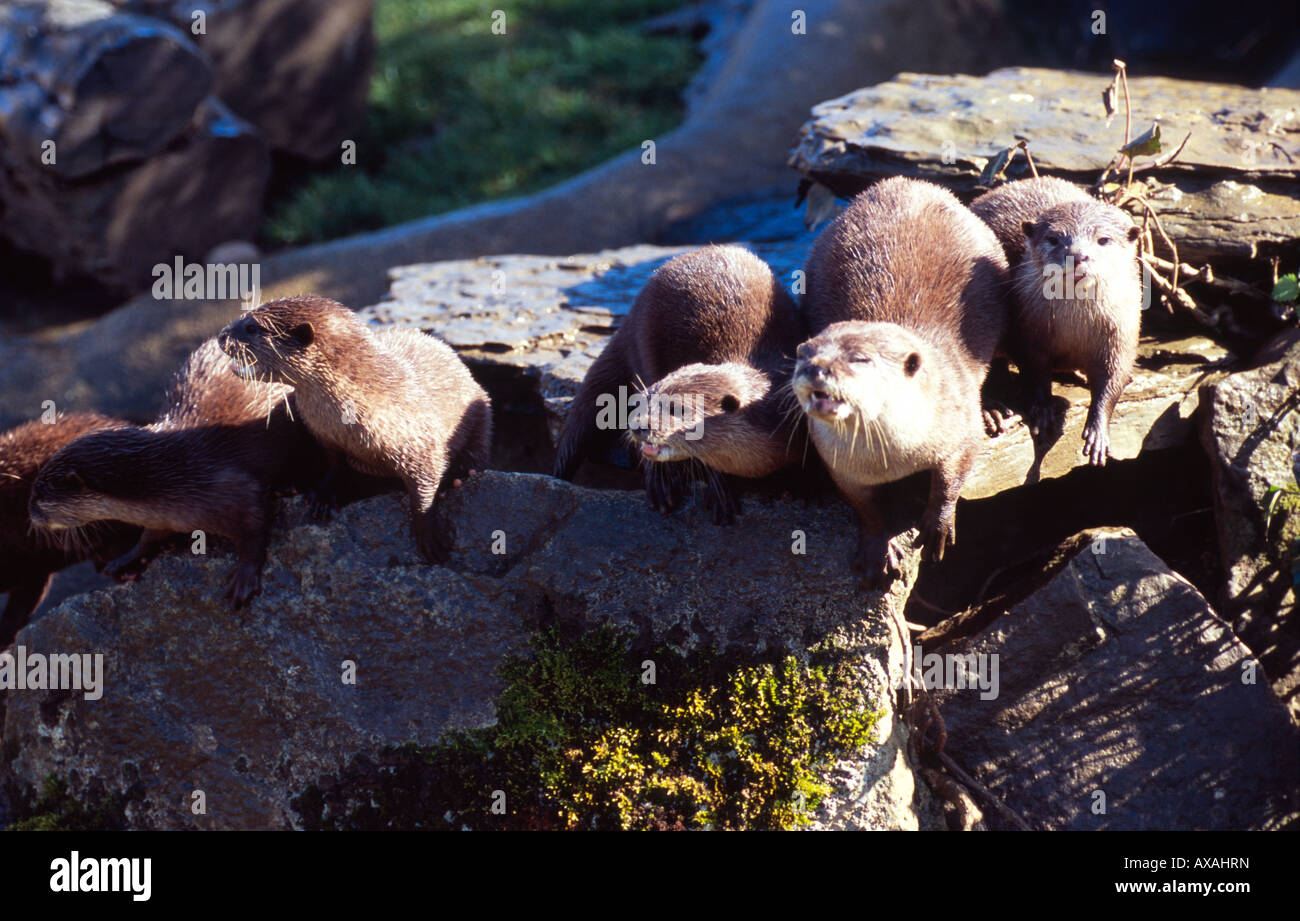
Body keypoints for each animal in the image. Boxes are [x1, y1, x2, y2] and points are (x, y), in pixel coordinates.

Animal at [29, 340, 316, 607]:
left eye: (39, 496)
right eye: (33, 492)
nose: (30, 514)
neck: (174, 473)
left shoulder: (232, 487)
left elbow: (254, 529)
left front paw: (245, 577)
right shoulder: (162, 516)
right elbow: (149, 535)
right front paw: (126, 559)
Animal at [218, 294, 492, 563]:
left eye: (251, 327)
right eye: (244, 317)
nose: (221, 335)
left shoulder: (420, 442)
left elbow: (424, 486)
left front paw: (427, 531)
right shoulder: (325, 437)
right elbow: (333, 466)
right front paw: (324, 496)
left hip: (482, 417)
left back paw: (459, 478)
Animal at [553, 245, 803, 520]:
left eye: (678, 409)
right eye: (645, 400)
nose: (640, 426)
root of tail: (630, 316)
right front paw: (719, 487)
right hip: (644, 340)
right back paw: (660, 483)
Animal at [797, 176, 1008, 588]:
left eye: (859, 358)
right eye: (804, 353)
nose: (815, 368)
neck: (892, 459)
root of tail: (903, 182)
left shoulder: (958, 419)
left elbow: (952, 476)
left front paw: (937, 526)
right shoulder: (840, 466)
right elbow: (864, 507)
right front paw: (877, 549)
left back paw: (994, 408)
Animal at [970, 178, 1142, 464]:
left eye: (1103, 240)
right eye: (1053, 239)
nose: (1078, 255)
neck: (1075, 328)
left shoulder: (1121, 333)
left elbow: (1113, 378)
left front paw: (1098, 431)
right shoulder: (1030, 333)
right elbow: (1034, 370)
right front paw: (1042, 410)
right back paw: (993, 411)